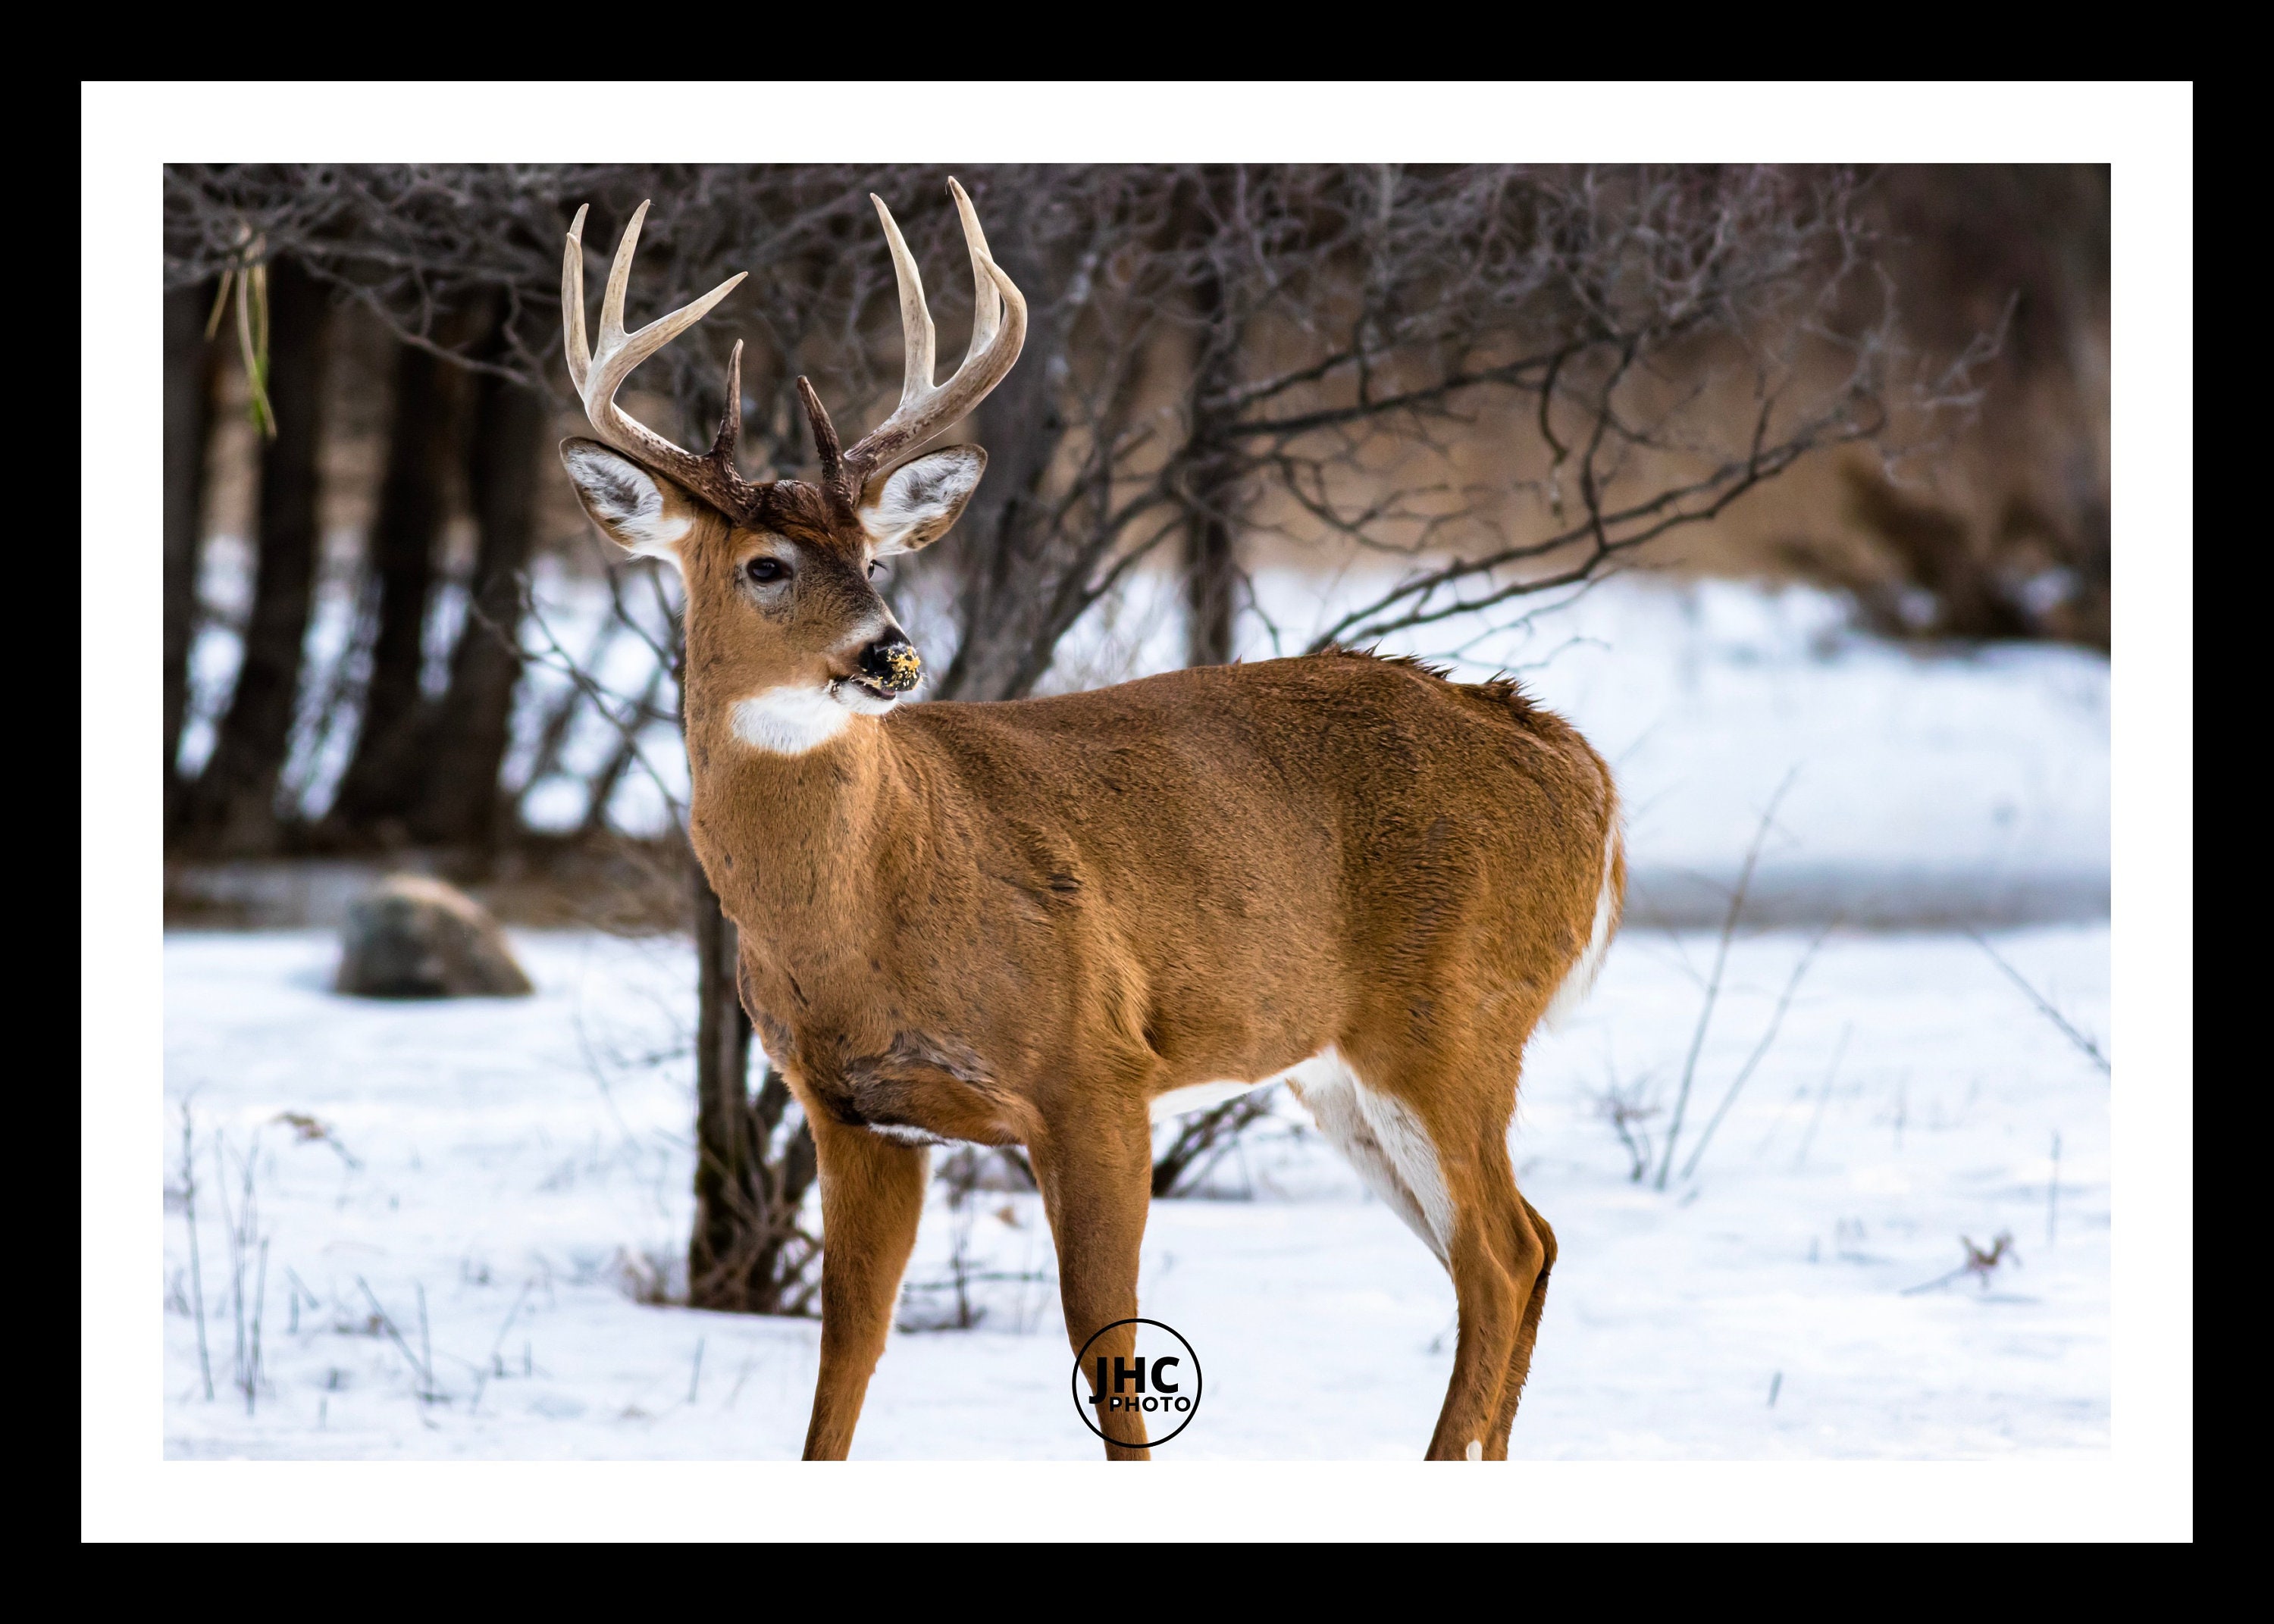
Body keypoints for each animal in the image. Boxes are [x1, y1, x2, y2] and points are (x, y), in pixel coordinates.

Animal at [556, 181, 1625, 1461]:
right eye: (766, 565)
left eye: (873, 556)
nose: (890, 652)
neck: (868, 912)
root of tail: (1578, 766)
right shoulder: (853, 1109)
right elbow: (845, 1358)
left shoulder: (1096, 1068)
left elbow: (1107, 1352)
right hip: (1342, 1068)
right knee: (1524, 1245)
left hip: (1456, 1018)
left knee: (1503, 1250)